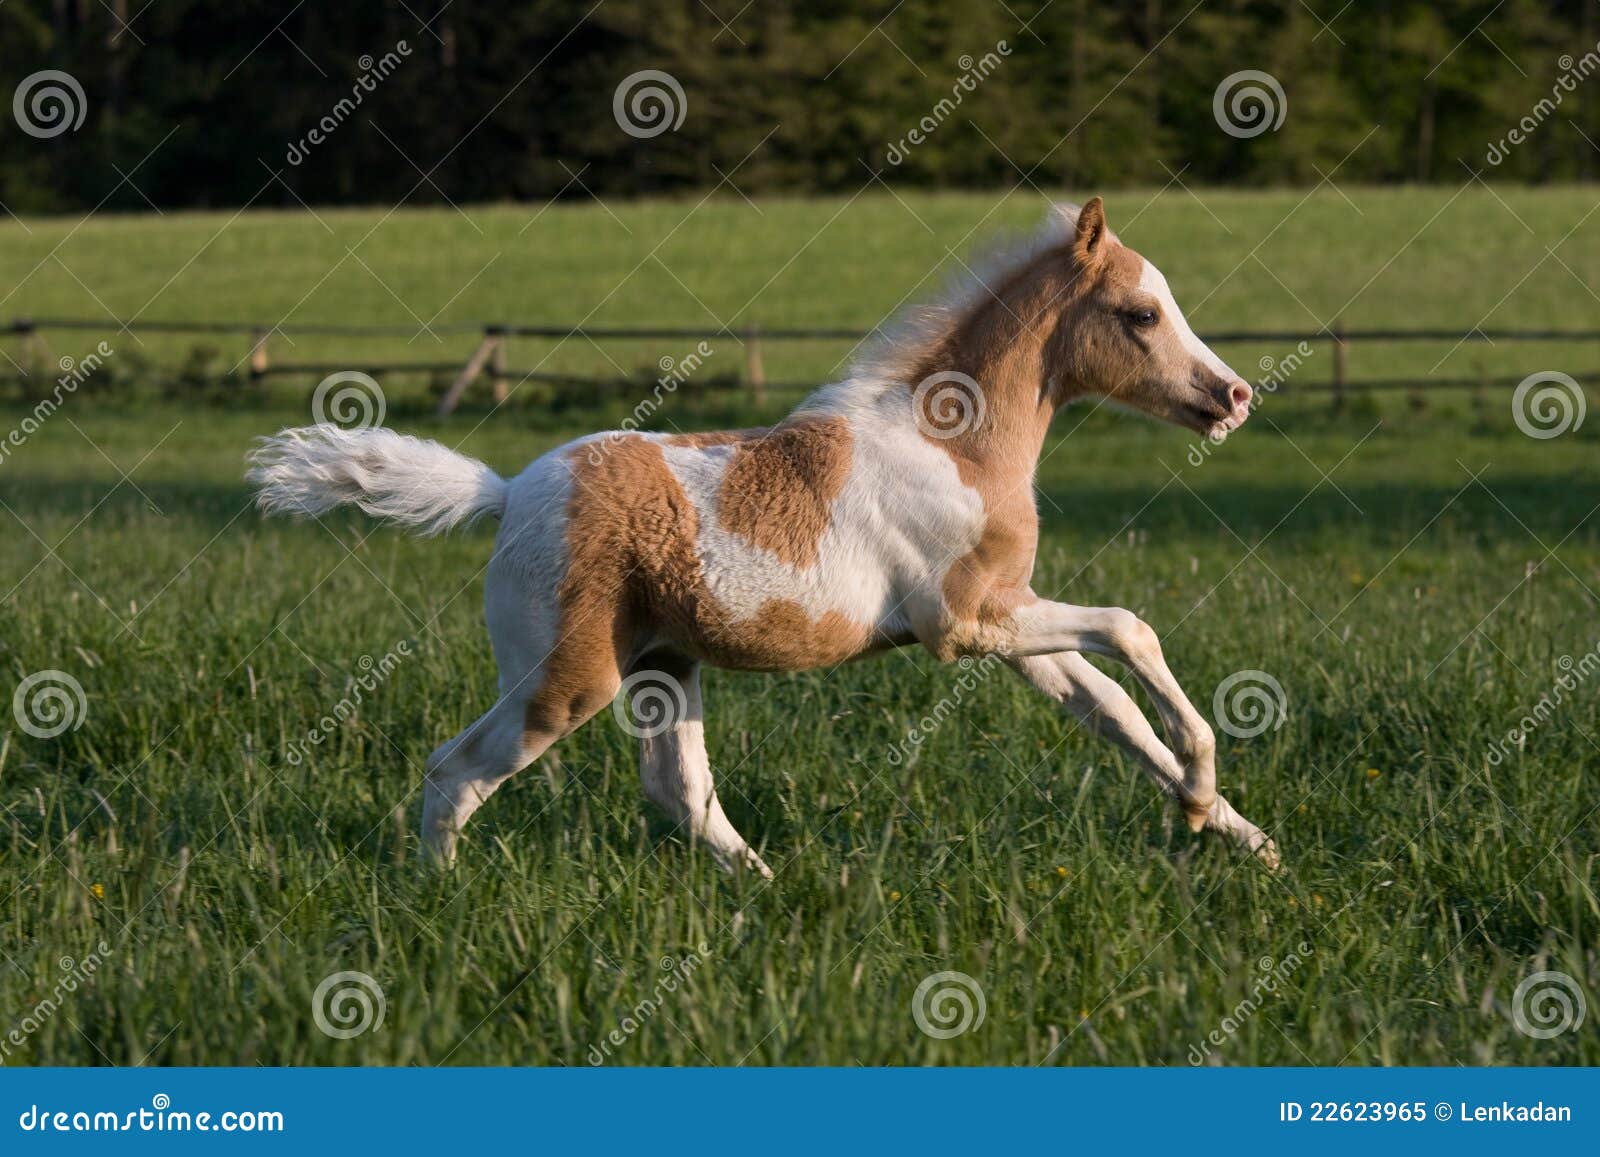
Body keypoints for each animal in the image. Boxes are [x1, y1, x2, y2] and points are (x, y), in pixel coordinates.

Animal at [247, 197, 1279, 875]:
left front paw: (1238, 833)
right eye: (1140, 314)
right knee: (456, 769)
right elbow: (1133, 629)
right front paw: (1205, 802)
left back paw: (769, 895)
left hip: (663, 665)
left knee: (680, 793)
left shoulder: (1010, 620)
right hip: (565, 679)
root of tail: (504, 494)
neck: (953, 443)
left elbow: (1114, 712)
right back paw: (438, 897)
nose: (1234, 396)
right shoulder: (965, 624)